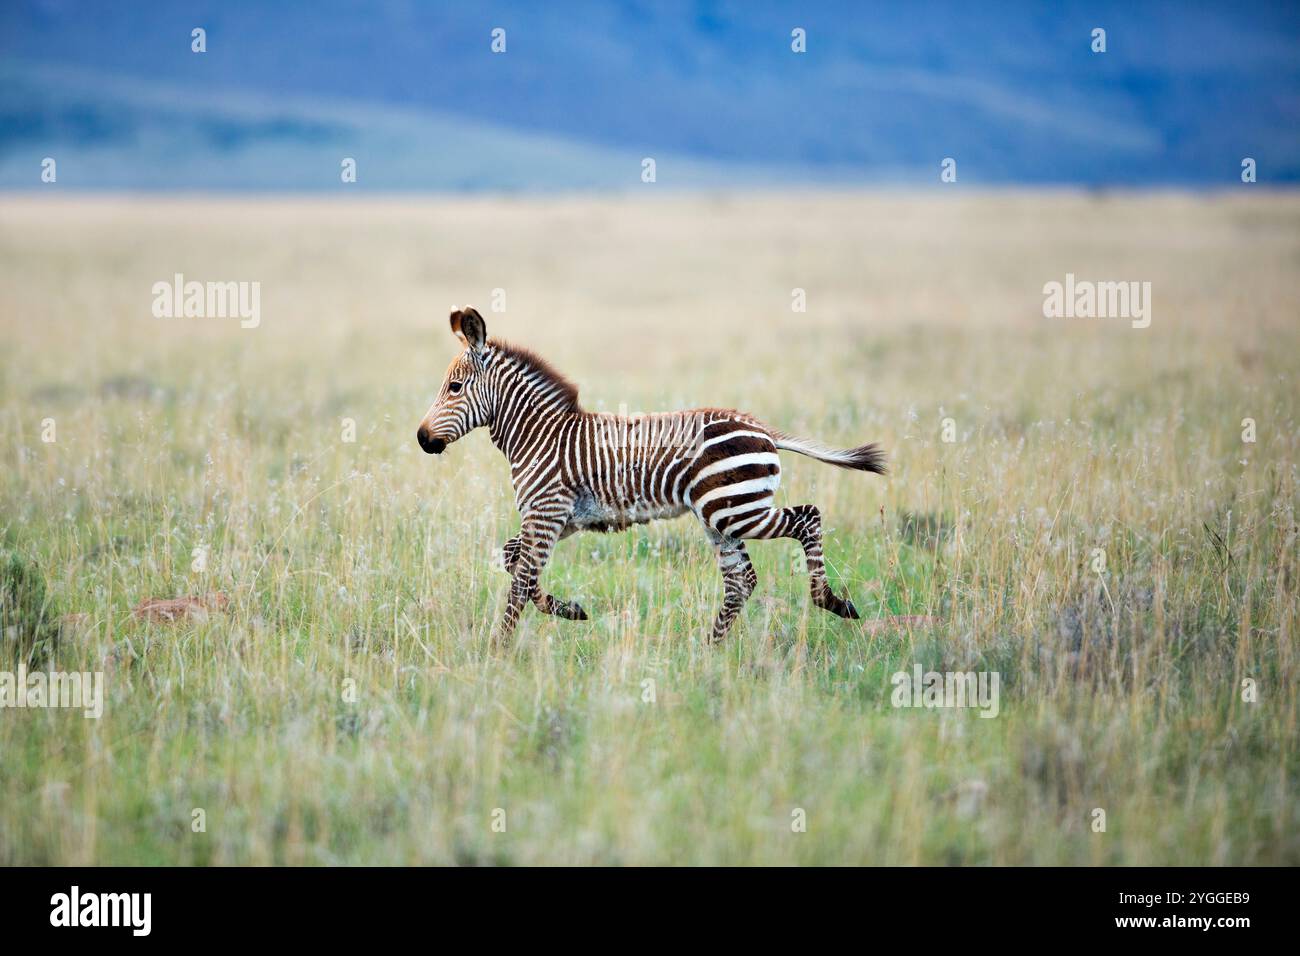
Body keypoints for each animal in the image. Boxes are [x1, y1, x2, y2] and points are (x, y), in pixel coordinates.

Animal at [417, 307, 886, 643]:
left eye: (454, 388)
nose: (422, 439)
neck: (540, 435)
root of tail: (762, 428)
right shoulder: (562, 519)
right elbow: (512, 559)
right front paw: (568, 610)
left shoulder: (547, 513)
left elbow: (521, 577)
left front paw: (498, 648)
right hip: (721, 514)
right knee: (741, 581)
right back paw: (708, 652)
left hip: (736, 509)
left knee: (807, 518)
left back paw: (830, 601)